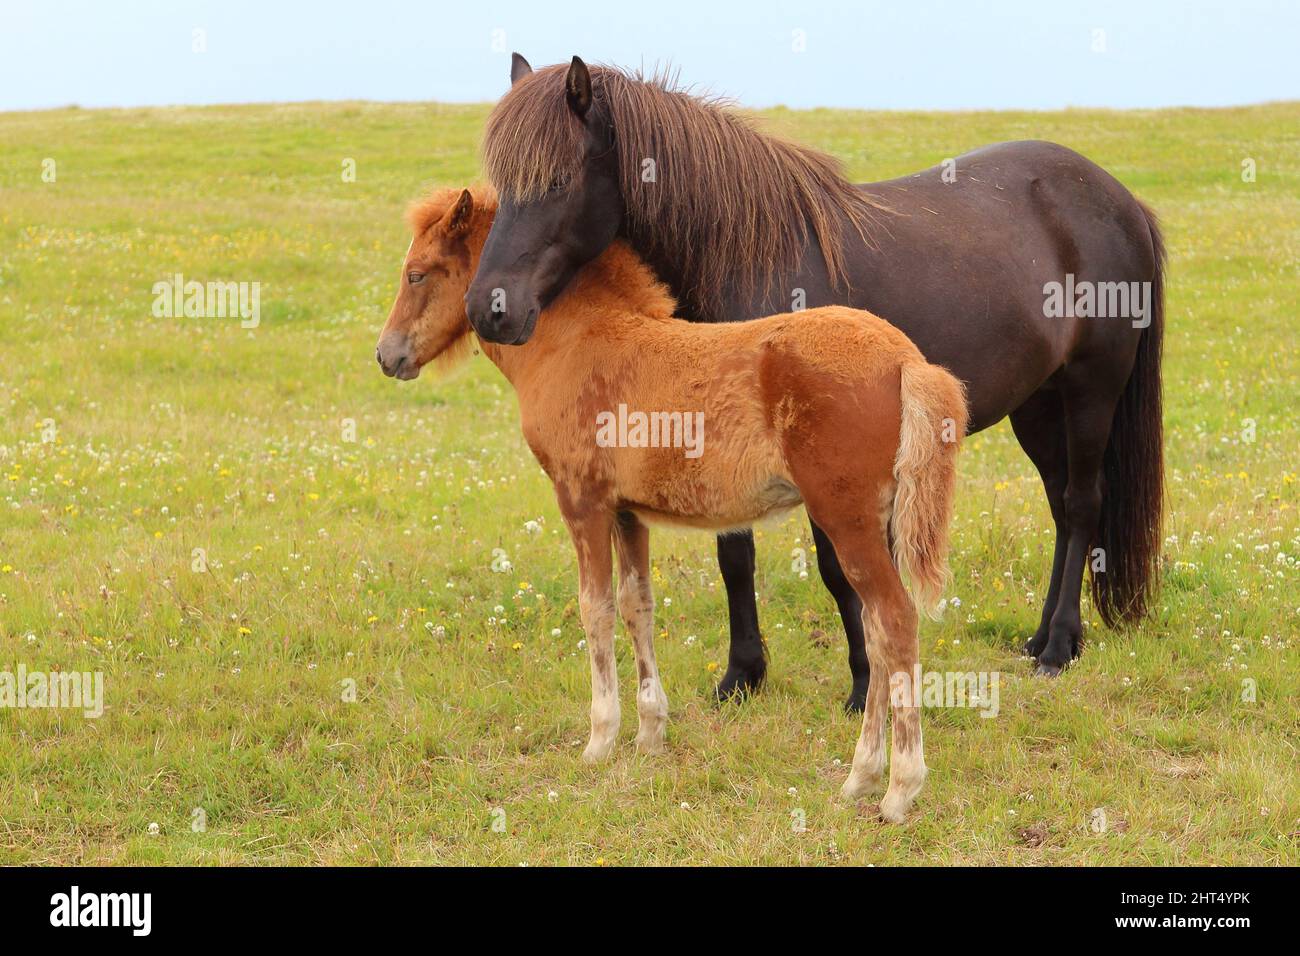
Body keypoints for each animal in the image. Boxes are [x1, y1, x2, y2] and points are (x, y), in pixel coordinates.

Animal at [376, 185, 968, 822]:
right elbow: (637, 605)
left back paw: (896, 788)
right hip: (878, 522)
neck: (573, 342)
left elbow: (595, 609)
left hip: (847, 519)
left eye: (416, 274)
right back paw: (861, 778)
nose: (386, 355)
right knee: (879, 632)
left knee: (893, 622)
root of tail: (906, 359)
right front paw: (650, 733)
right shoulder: (628, 511)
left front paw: (600, 740)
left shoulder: (581, 501)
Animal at [464, 55, 1165, 711]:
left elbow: (837, 566)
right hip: (1040, 405)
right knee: (1062, 507)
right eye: (501, 182)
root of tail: (1121, 200)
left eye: (557, 180)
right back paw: (1046, 636)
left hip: (1091, 390)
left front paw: (864, 683)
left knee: (1082, 504)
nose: (487, 309)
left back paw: (1057, 647)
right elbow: (735, 556)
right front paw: (742, 676)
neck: (749, 261)